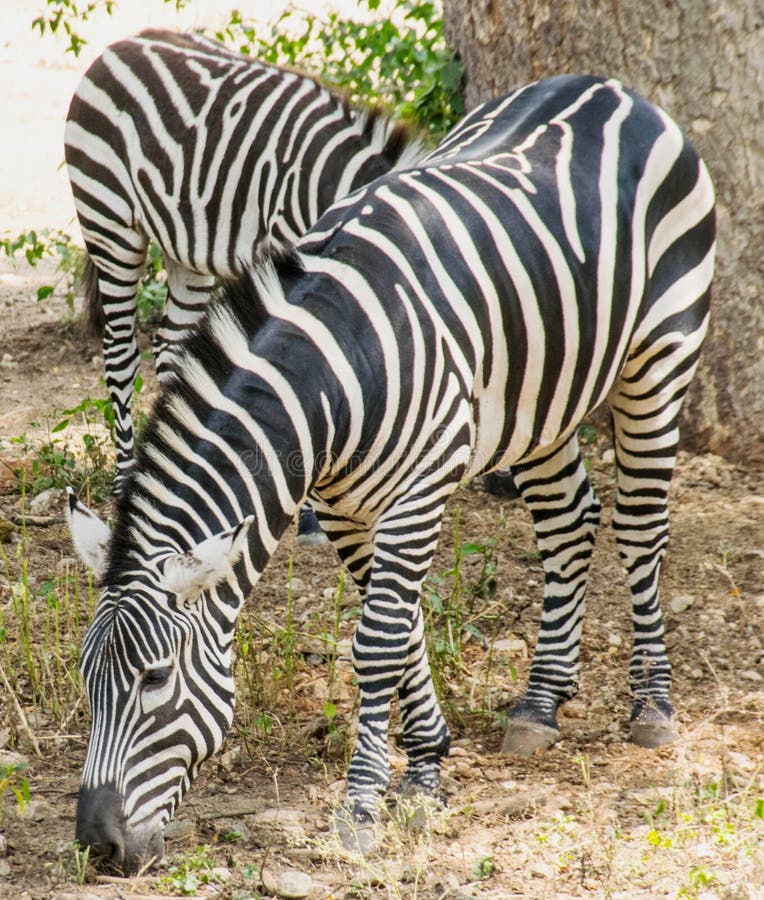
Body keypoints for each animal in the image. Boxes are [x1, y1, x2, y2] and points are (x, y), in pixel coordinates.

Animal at [64, 26, 422, 536]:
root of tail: (121, 44)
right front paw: (311, 512)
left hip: (189, 248)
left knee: (171, 344)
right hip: (110, 221)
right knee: (120, 351)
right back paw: (125, 477)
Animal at [67, 74, 715, 873]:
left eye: (155, 679)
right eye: (86, 678)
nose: (96, 843)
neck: (336, 369)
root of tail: (607, 86)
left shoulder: (419, 489)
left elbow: (377, 640)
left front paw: (362, 806)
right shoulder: (345, 505)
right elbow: (401, 628)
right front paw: (428, 766)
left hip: (660, 354)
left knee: (640, 525)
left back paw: (652, 703)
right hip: (543, 395)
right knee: (568, 523)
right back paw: (540, 702)